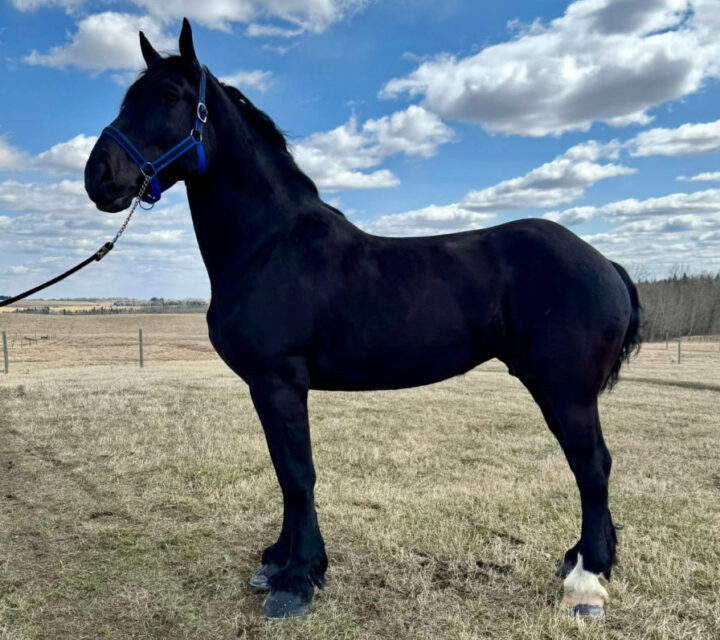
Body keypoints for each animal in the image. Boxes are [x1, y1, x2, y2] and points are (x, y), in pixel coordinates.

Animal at [84, 19, 641, 620]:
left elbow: (298, 474)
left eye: (168, 97)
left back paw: (586, 582)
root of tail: (604, 263)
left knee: (592, 468)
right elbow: (284, 471)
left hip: (566, 391)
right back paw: (582, 560)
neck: (269, 246)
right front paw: (281, 561)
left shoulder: (279, 381)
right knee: (594, 468)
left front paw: (297, 580)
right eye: (126, 99)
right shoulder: (267, 386)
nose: (99, 176)